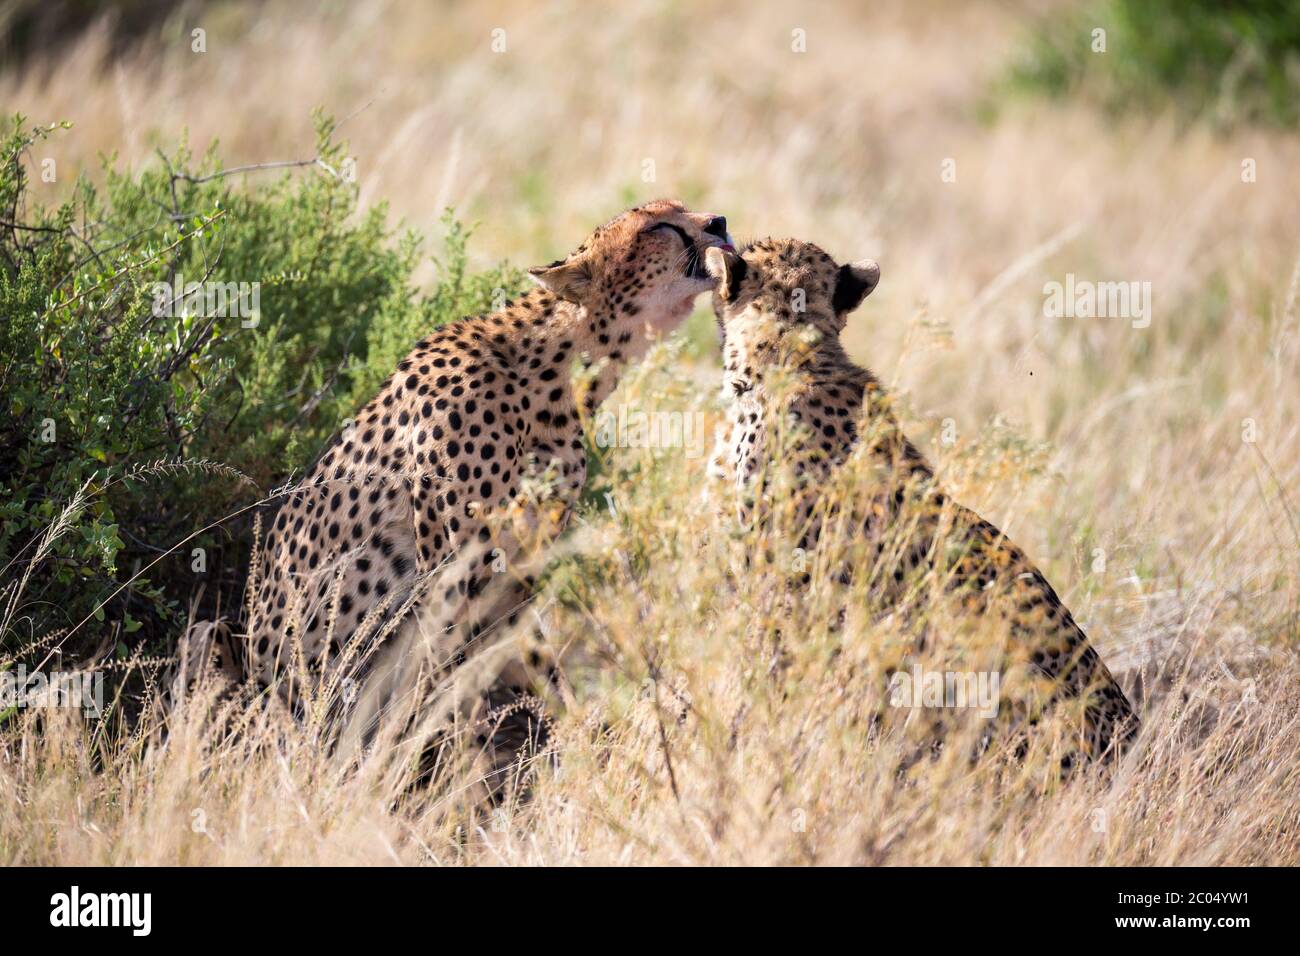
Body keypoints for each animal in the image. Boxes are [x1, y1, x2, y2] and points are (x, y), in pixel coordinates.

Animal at [240, 199, 734, 786]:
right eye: (659, 225)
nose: (720, 224)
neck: (555, 377)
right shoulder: (455, 575)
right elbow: (452, 697)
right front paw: (465, 781)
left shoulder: (515, 577)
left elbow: (531, 674)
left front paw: (579, 758)